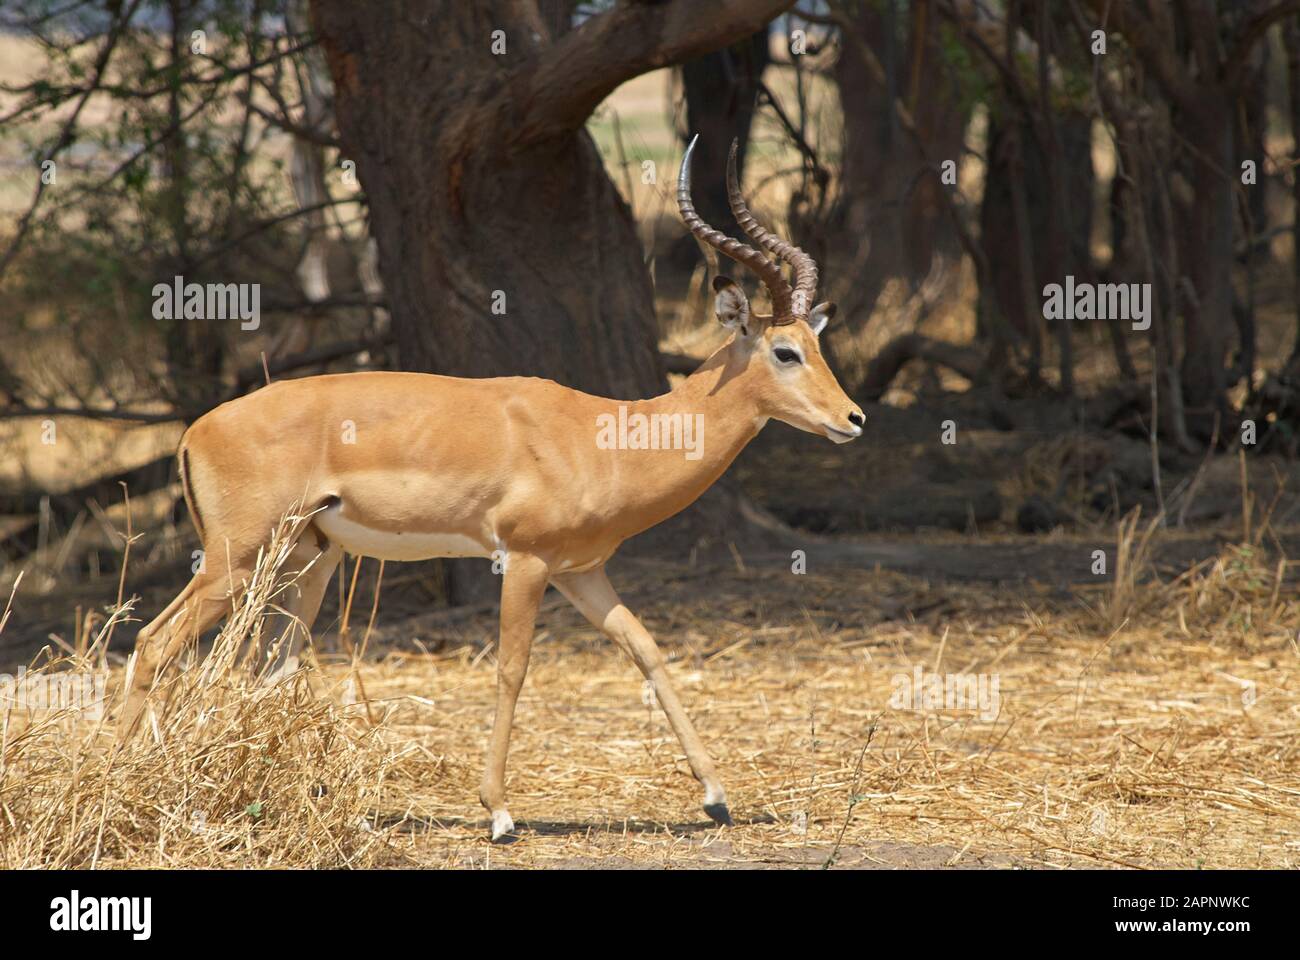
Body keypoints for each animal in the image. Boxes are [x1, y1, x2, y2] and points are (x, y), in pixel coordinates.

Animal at [120, 136, 865, 840]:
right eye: (784, 351)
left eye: (816, 346)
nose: (853, 418)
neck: (605, 436)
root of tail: (195, 430)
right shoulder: (525, 561)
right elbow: (512, 668)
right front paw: (500, 812)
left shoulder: (582, 571)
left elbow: (647, 650)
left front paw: (715, 797)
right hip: (235, 561)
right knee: (155, 643)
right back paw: (133, 789)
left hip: (308, 562)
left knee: (269, 668)